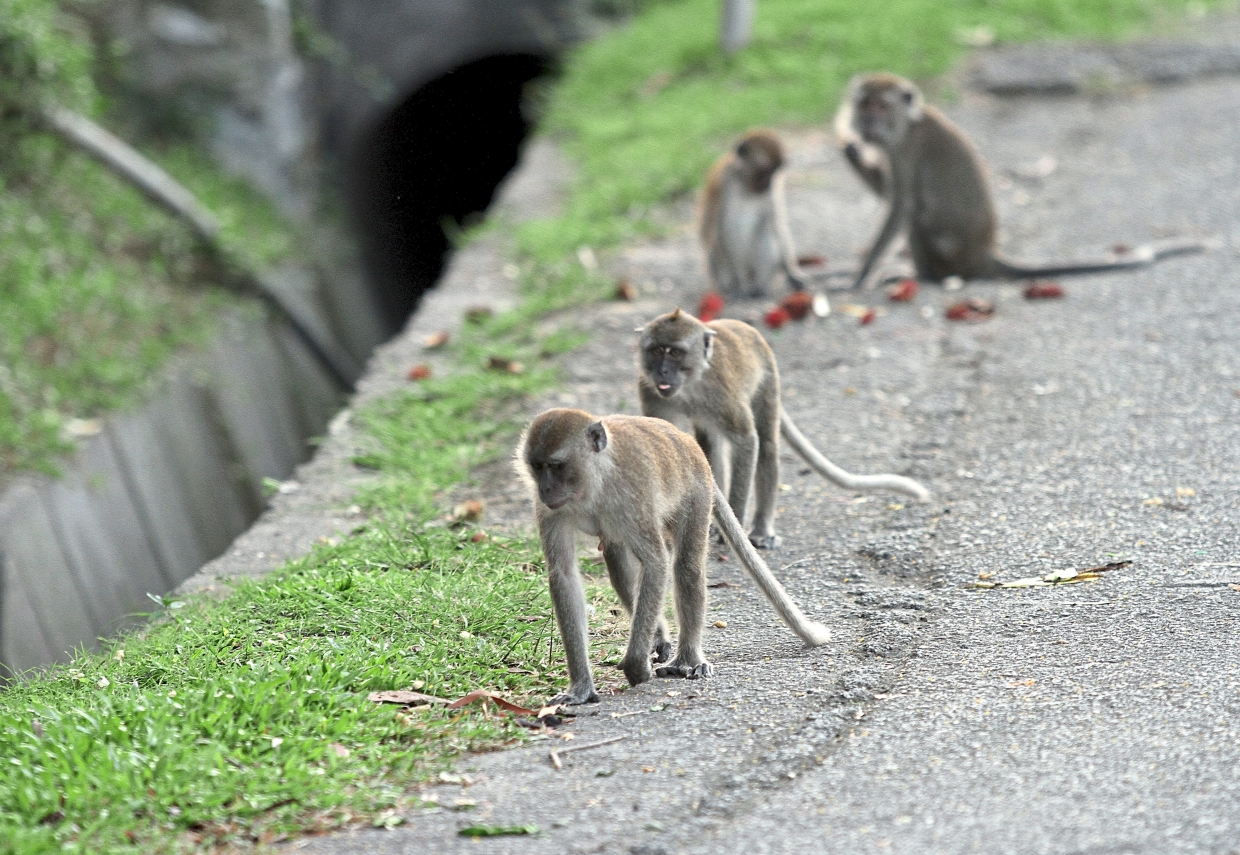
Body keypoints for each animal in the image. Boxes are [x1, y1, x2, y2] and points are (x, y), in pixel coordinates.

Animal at [517, 408, 831, 705]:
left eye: (556, 466)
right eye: (537, 467)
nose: (545, 489)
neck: (595, 481)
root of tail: (685, 439)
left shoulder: (633, 497)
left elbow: (656, 563)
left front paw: (635, 665)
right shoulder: (551, 511)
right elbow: (564, 574)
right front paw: (581, 686)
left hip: (695, 492)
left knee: (686, 565)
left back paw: (687, 659)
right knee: (618, 562)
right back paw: (658, 635)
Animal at [637, 309, 930, 551]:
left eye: (675, 352)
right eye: (656, 351)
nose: (662, 372)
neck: (691, 383)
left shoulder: (721, 394)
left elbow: (746, 441)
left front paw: (735, 520)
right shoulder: (650, 391)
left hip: (767, 380)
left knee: (766, 445)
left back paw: (761, 529)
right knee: (712, 446)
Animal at [699, 129, 823, 297]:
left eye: (775, 171)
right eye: (764, 173)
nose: (768, 184)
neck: (745, 182)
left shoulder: (773, 188)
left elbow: (776, 223)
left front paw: (792, 272)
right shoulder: (723, 179)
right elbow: (717, 229)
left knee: (766, 228)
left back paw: (759, 287)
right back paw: (738, 285)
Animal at [834, 72, 1207, 289]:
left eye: (881, 107)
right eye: (864, 104)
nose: (866, 122)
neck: (907, 124)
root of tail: (986, 253)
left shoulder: (905, 151)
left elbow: (902, 206)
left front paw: (858, 279)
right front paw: (850, 152)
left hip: (952, 253)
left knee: (918, 219)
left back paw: (919, 275)